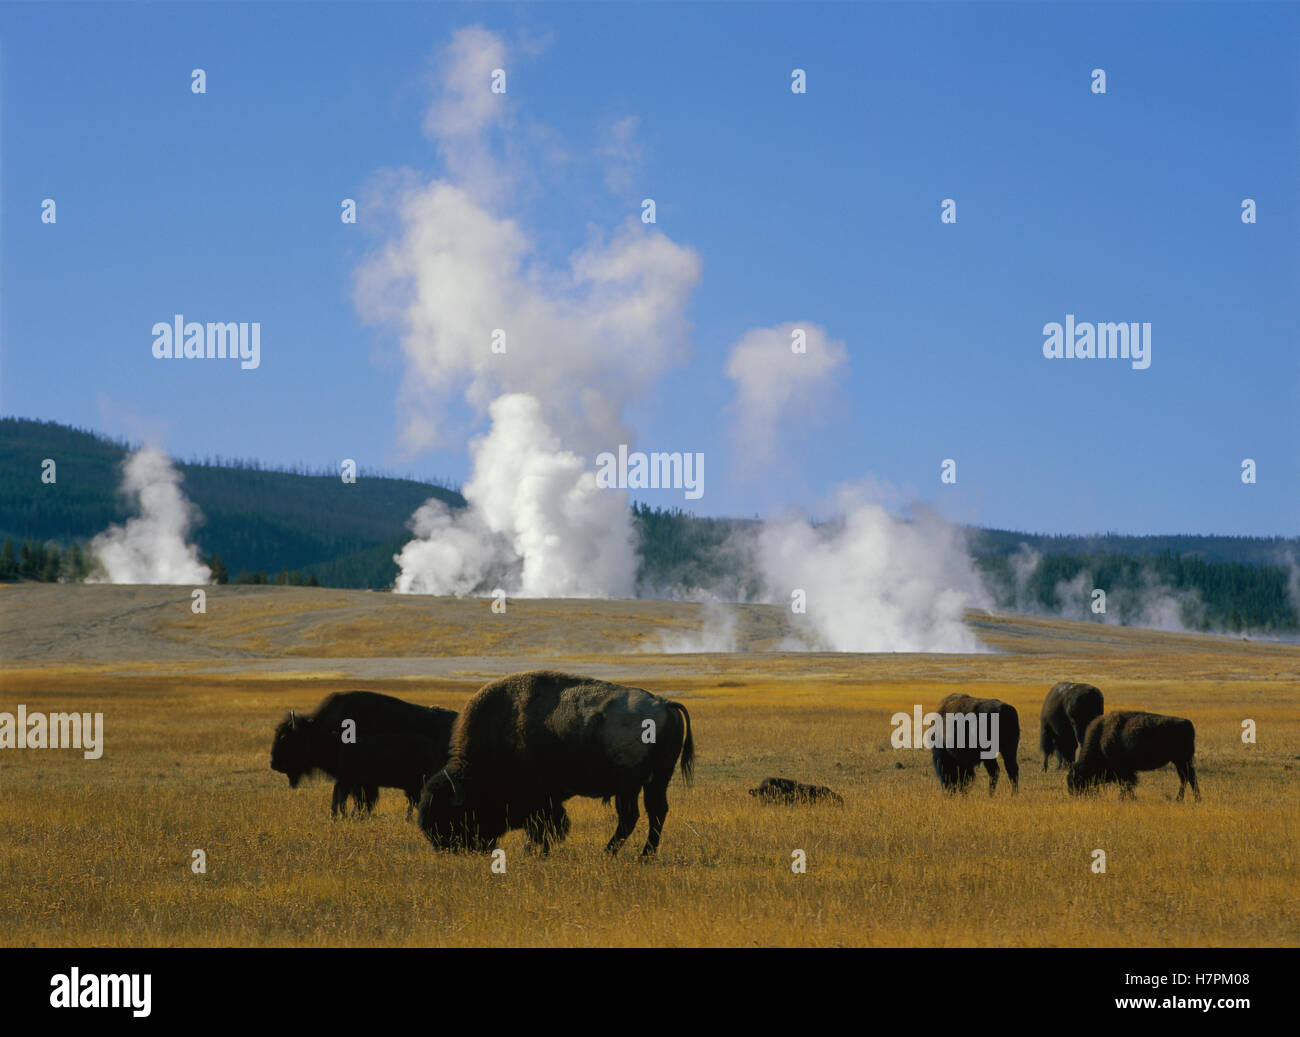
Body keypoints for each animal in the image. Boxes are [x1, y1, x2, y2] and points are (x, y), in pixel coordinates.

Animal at [270, 690, 456, 817]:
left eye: (286, 738)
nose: (273, 763)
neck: (318, 729)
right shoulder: (352, 779)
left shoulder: (358, 779)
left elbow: (358, 799)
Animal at [417, 670, 694, 857]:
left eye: (452, 815)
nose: (444, 846)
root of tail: (664, 703)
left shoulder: (539, 799)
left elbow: (542, 826)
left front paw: (532, 852)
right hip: (656, 780)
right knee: (656, 811)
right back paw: (643, 856)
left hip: (630, 785)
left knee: (631, 816)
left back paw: (609, 853)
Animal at [1068, 710, 1200, 801]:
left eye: (1078, 779)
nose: (1074, 794)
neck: (1101, 739)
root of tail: (1187, 723)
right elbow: (1126, 785)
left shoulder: (1124, 771)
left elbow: (1126, 785)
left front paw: (1125, 798)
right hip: (1179, 762)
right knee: (1185, 778)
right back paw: (1182, 799)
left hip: (1182, 760)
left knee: (1189, 778)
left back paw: (1191, 799)